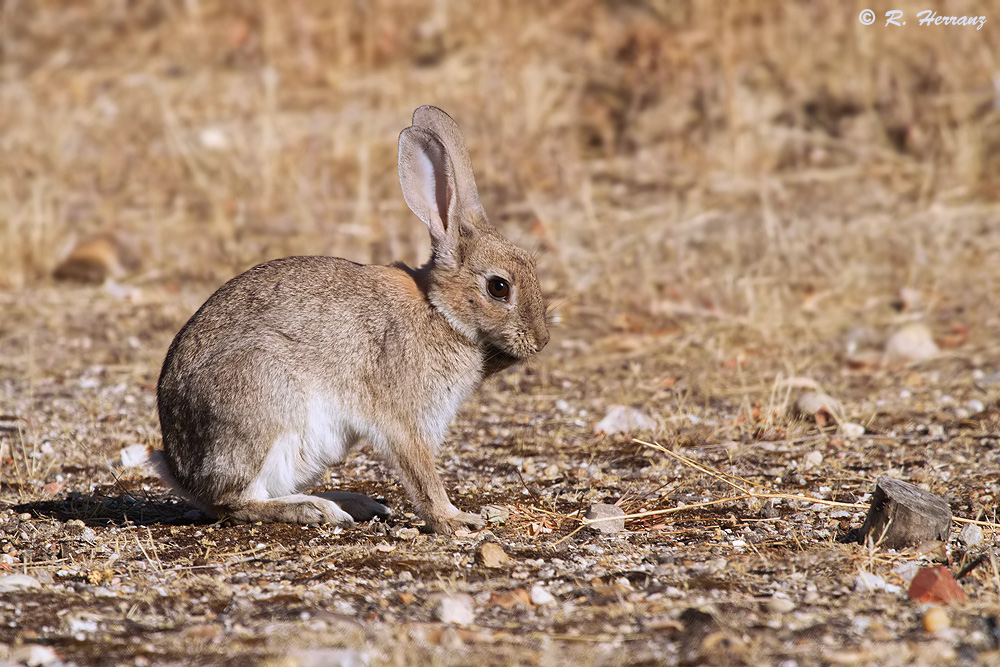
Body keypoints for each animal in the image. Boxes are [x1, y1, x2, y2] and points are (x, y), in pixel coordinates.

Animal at [150, 106, 549, 534]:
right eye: (498, 288)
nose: (540, 341)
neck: (438, 310)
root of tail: (181, 470)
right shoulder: (403, 421)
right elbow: (422, 474)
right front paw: (455, 519)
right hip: (262, 401)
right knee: (234, 501)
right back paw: (315, 509)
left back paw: (353, 502)